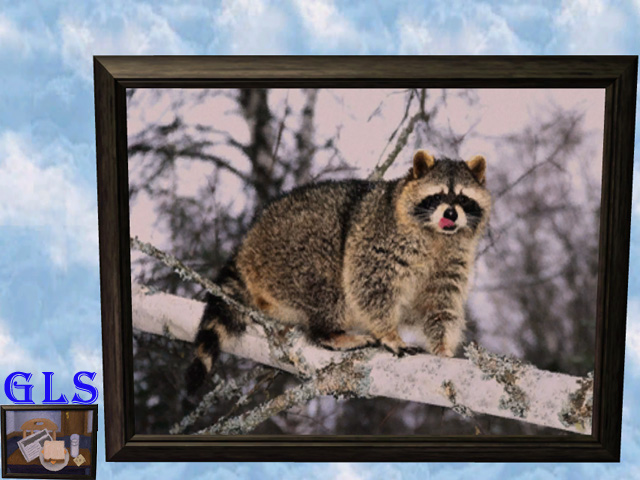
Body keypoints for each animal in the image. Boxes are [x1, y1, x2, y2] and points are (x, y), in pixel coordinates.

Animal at [186, 150, 491, 394]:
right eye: (437, 196)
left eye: (463, 198)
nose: (451, 214)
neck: (438, 236)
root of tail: (247, 244)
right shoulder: (378, 238)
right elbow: (369, 284)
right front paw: (389, 333)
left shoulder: (452, 260)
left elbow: (441, 303)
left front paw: (443, 347)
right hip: (290, 249)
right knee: (327, 282)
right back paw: (330, 333)